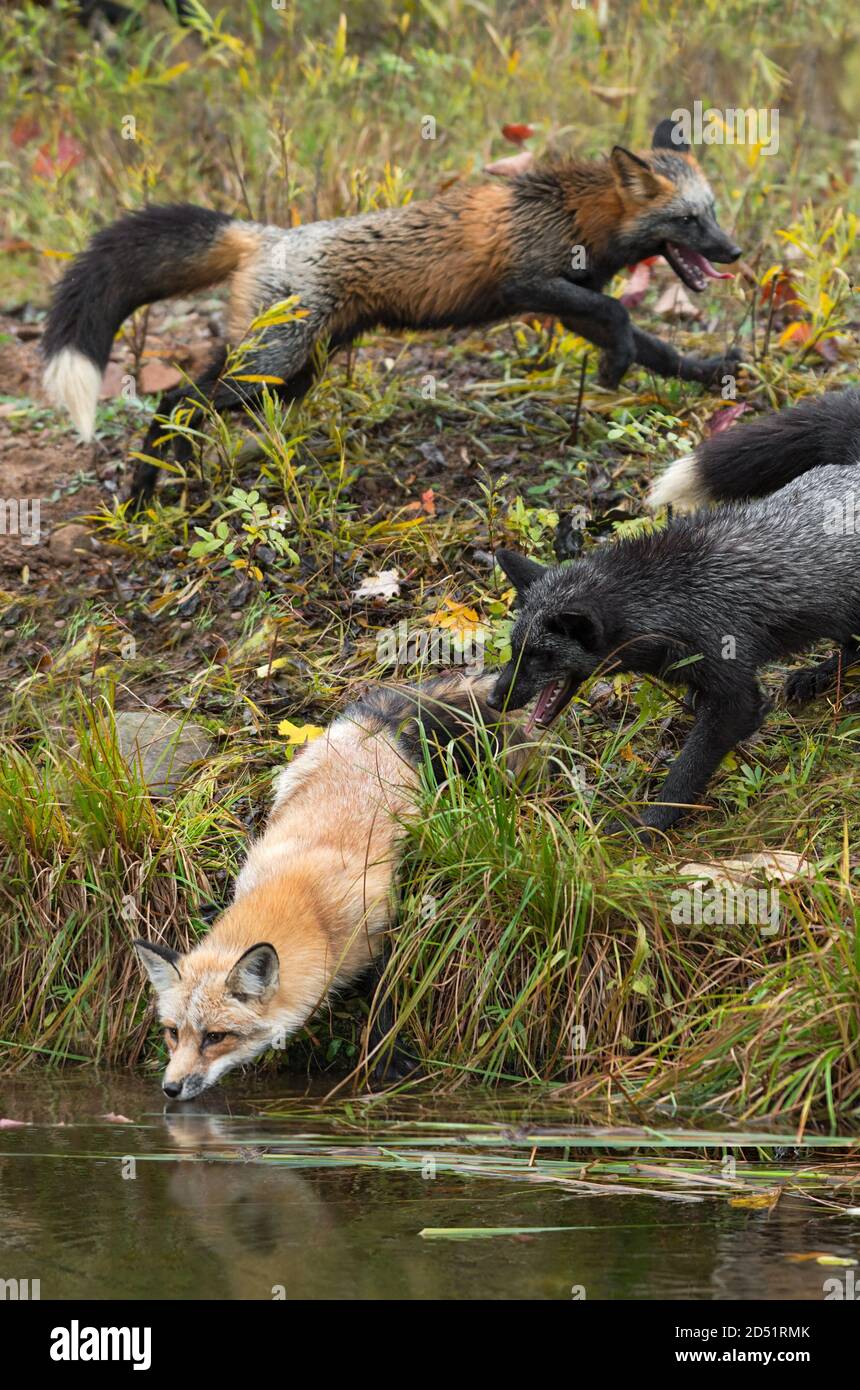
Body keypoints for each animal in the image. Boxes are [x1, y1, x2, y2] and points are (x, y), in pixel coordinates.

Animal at [42, 116, 741, 504]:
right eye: (689, 221)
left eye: (712, 213)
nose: (734, 251)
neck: (572, 210)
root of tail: (265, 234)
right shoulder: (526, 284)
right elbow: (621, 319)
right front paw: (615, 369)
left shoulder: (572, 301)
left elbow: (657, 347)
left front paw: (710, 373)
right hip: (271, 365)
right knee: (176, 398)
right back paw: (143, 495)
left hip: (286, 373)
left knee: (191, 399)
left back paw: (174, 474)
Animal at [134, 671, 527, 1100]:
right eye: (173, 1033)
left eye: (215, 1036)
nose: (170, 1089)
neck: (299, 893)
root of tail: (372, 724)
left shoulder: (379, 930)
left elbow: (383, 1000)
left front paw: (387, 1058)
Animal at [488, 457, 860, 835]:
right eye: (515, 650)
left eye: (539, 656)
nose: (493, 699)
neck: (675, 595)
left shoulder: (735, 695)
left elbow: (686, 770)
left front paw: (649, 823)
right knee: (854, 648)